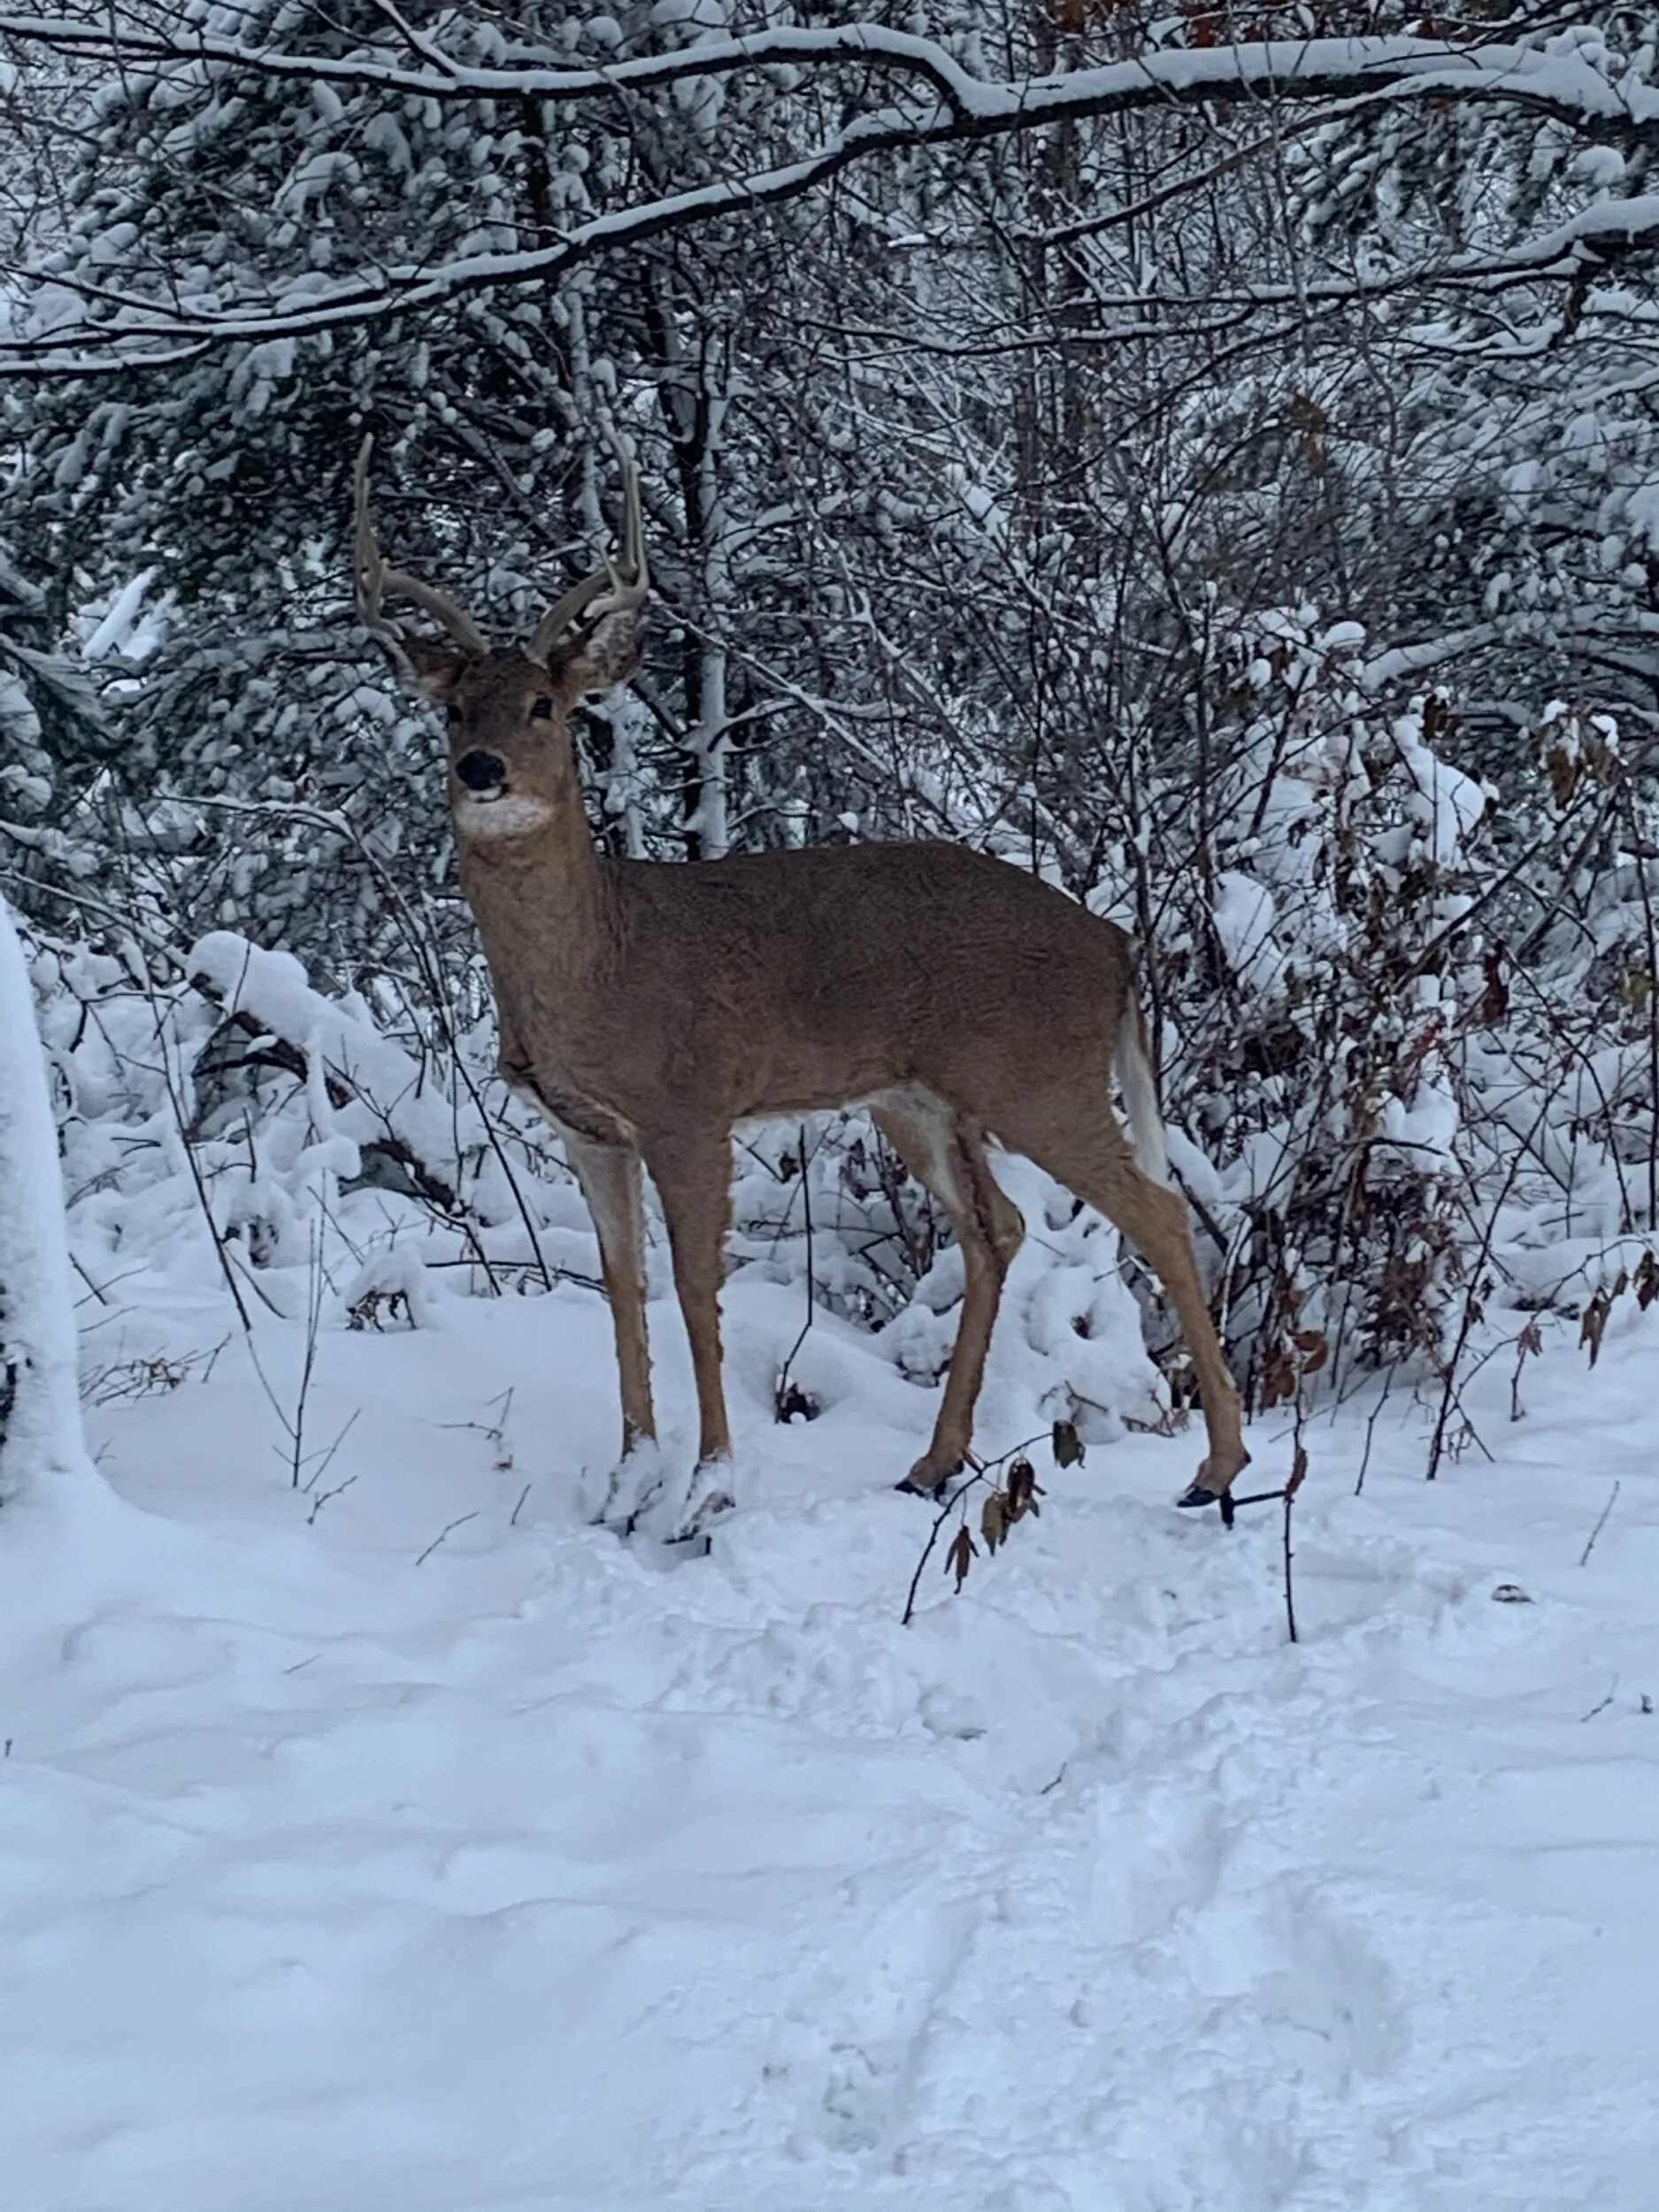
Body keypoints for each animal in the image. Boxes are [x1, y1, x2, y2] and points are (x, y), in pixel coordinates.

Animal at [351, 430, 1249, 1540]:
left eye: (544, 705)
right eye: (450, 708)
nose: (482, 768)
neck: (600, 962)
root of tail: (1118, 946)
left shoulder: (691, 1107)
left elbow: (695, 1290)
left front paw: (706, 1493)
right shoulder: (586, 1128)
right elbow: (621, 1292)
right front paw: (624, 1491)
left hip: (1037, 1075)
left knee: (1157, 1212)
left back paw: (1216, 1469)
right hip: (917, 1096)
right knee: (997, 1226)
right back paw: (932, 1464)